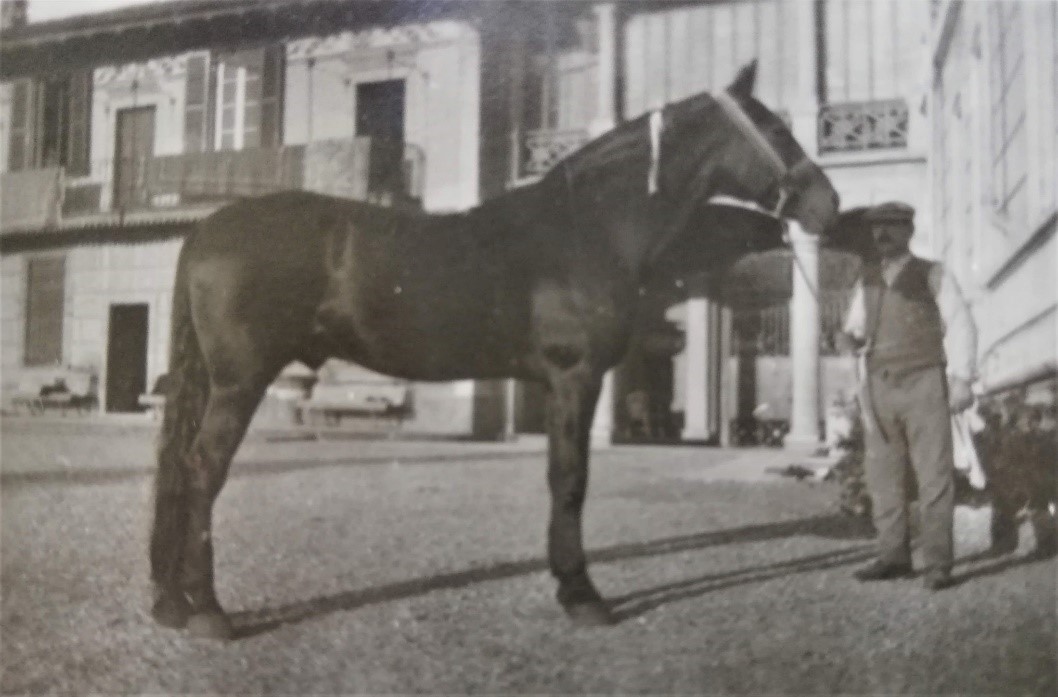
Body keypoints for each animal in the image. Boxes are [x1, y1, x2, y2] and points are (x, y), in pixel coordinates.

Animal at [149, 61, 841, 639]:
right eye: (776, 129)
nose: (827, 203)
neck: (586, 229)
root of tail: (207, 228)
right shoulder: (574, 377)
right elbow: (570, 479)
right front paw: (582, 594)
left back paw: (173, 602)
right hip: (239, 382)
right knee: (203, 469)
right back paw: (209, 612)